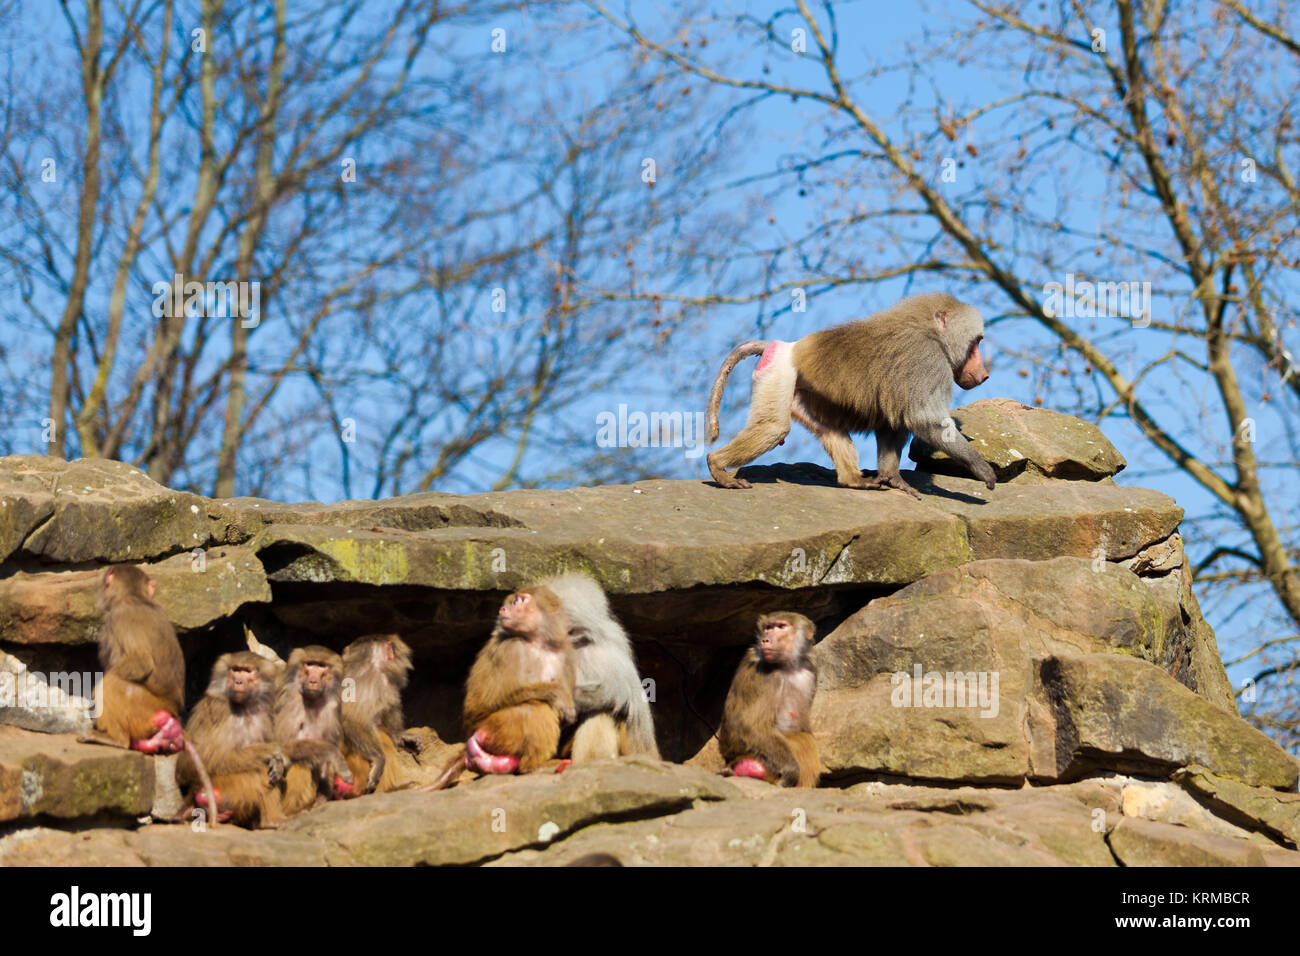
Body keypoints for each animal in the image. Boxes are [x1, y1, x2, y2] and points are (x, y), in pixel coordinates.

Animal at [177, 651, 289, 828]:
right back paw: (272, 821)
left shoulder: (269, 711)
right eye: (235, 670)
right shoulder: (220, 709)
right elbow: (198, 761)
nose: (238, 682)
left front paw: (278, 761)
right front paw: (272, 752)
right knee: (257, 768)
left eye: (247, 671)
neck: (244, 708)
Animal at [274, 646, 355, 812]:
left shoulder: (332, 706)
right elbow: (284, 743)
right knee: (300, 763)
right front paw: (335, 755)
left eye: (321, 666)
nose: (313, 681)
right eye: (310, 664)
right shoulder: (292, 700)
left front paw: (323, 798)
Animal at [426, 585, 577, 791]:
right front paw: (558, 695)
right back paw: (534, 766)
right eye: (512, 601)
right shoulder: (510, 649)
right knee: (534, 709)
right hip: (492, 730)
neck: (538, 643)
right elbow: (483, 703)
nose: (503, 610)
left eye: (520, 601)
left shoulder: (567, 655)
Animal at [705, 292, 996, 500]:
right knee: (774, 428)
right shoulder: (927, 360)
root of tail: (787, 346)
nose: (984, 374)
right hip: (779, 374)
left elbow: (893, 423)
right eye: (977, 342)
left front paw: (892, 478)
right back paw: (717, 466)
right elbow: (923, 419)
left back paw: (853, 481)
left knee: (831, 431)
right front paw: (981, 468)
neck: (930, 331)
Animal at [718, 611, 820, 788]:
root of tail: (732, 762)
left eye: (781, 627)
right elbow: (751, 725)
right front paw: (791, 771)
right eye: (768, 628)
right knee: (805, 740)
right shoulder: (768, 674)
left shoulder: (811, 669)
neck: (789, 666)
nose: (766, 640)